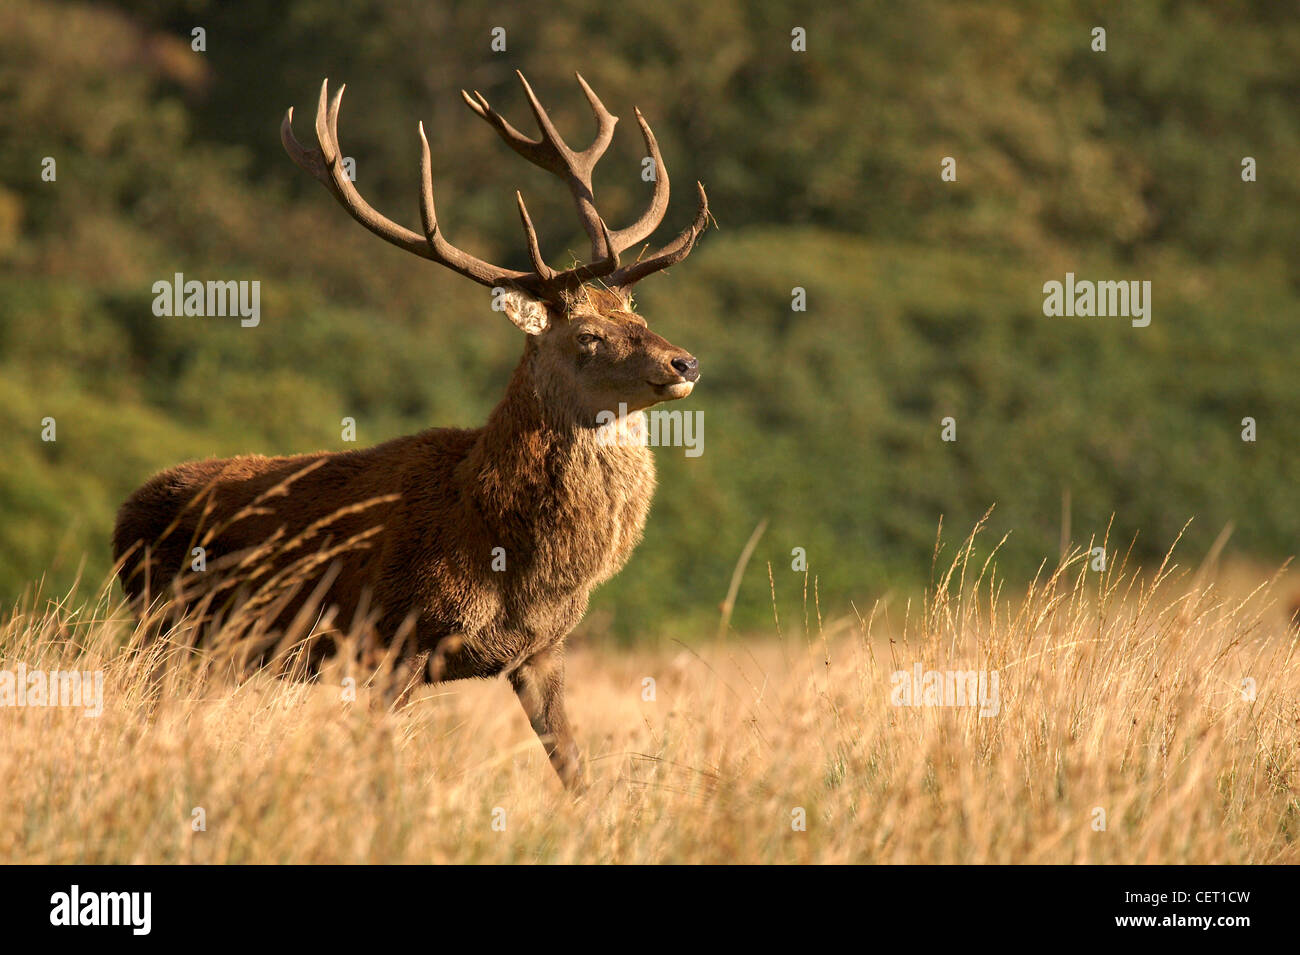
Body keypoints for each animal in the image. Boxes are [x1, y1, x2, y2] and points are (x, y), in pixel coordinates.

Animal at [111, 72, 709, 790]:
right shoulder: (392, 639)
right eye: (589, 336)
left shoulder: (541, 652)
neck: (501, 539)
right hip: (167, 627)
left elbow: (575, 773)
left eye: (638, 316)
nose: (685, 362)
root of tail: (123, 514)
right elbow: (384, 770)